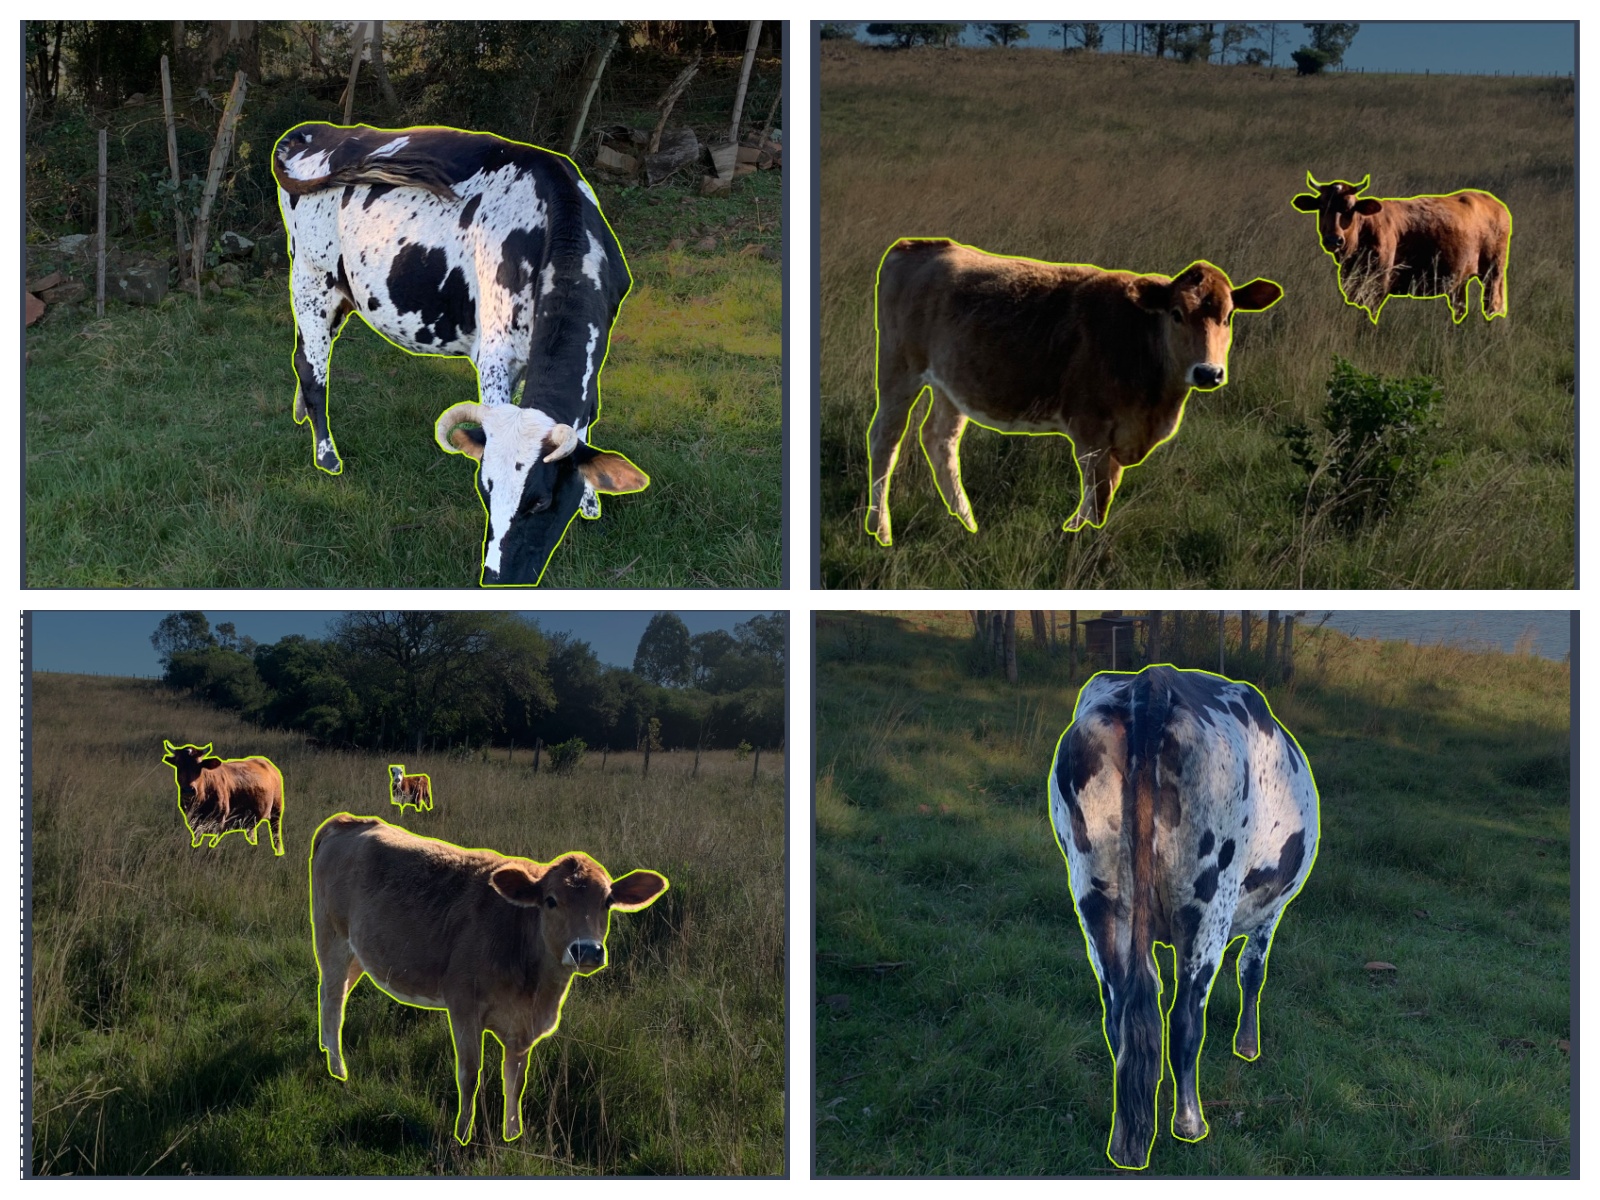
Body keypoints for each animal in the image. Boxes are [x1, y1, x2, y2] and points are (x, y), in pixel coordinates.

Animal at [271, 122, 650, 586]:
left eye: (541, 501)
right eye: (485, 489)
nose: (498, 578)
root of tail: (317, 131)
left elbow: (585, 423)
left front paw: (591, 499)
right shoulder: (495, 354)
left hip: (342, 293)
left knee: (301, 357)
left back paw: (301, 415)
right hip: (311, 280)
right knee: (313, 370)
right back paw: (327, 456)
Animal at [309, 814, 669, 1144]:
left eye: (607, 901)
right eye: (551, 900)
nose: (587, 950)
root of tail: (347, 821)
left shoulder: (524, 1027)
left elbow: (515, 1081)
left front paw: (513, 1136)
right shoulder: (464, 1006)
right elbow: (470, 1075)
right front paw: (463, 1135)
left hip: (360, 952)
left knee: (336, 995)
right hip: (332, 937)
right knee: (332, 1001)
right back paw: (338, 1069)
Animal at [866, 239, 1282, 544]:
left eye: (1228, 316)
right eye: (1177, 314)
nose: (1208, 372)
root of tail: (918, 245)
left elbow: (1104, 488)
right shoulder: (1091, 428)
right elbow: (1098, 494)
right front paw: (1083, 539)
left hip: (950, 385)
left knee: (940, 440)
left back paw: (966, 522)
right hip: (899, 370)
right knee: (886, 440)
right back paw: (880, 529)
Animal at [1047, 665, 1319, 1170]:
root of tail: (1151, 682)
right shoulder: (1270, 913)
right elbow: (1253, 972)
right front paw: (1248, 1046)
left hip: (1096, 898)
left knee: (1120, 1013)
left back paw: (1125, 1139)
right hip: (1207, 908)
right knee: (1185, 1021)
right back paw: (1190, 1123)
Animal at [1290, 173, 1511, 324]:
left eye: (1350, 208)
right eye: (1322, 207)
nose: (1333, 239)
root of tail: (1495, 204)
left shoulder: (1378, 284)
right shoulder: (1353, 284)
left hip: (1493, 274)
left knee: (1492, 306)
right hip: (1459, 279)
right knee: (1459, 308)